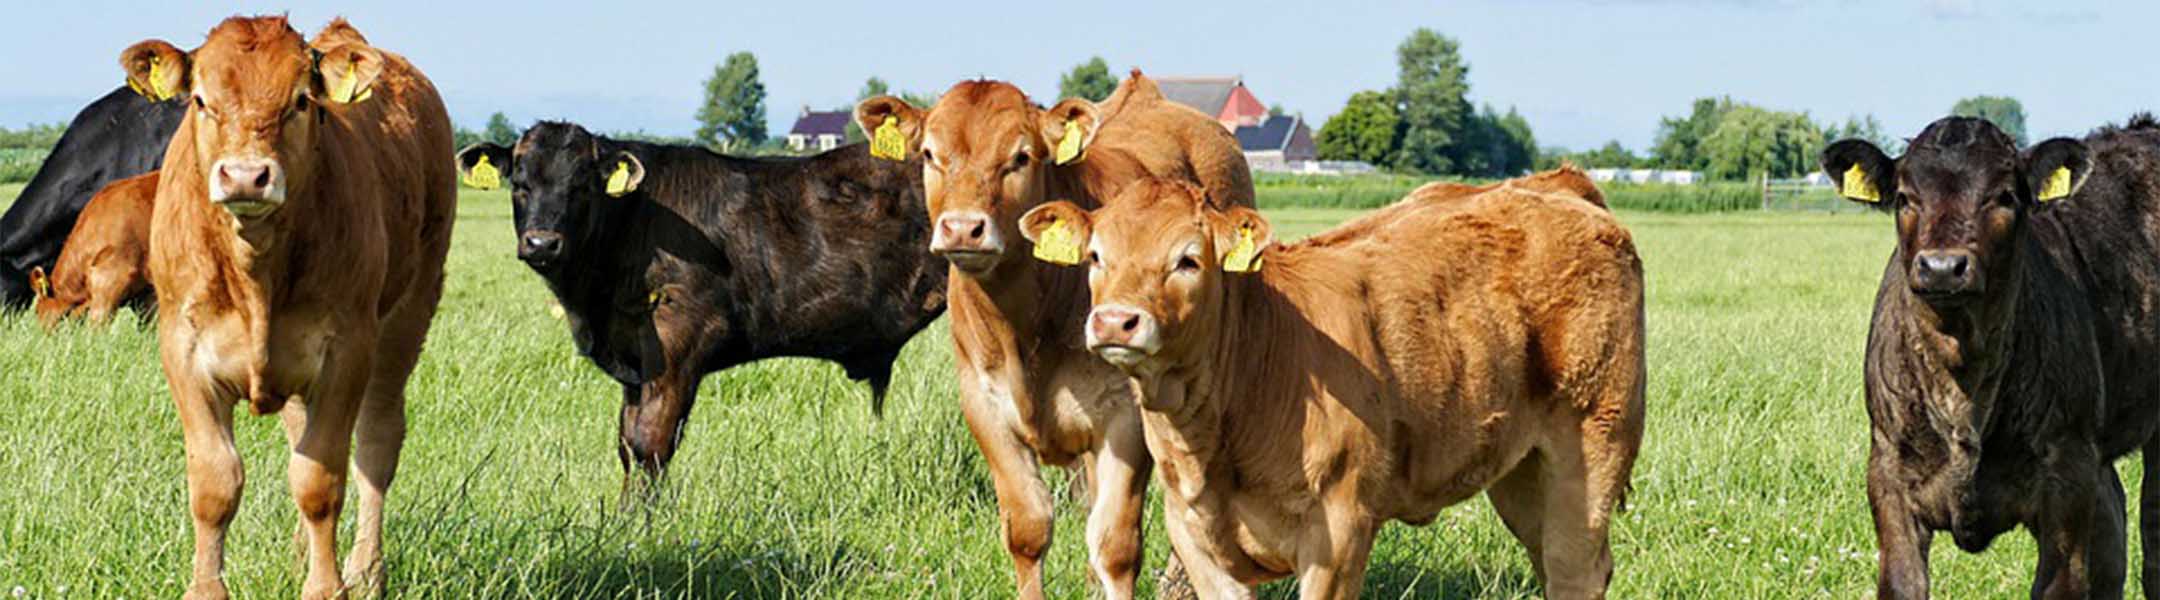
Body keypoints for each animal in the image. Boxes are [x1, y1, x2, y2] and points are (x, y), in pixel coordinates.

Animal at [126, 16, 456, 599]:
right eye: (200, 99)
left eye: (301, 100)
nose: (245, 176)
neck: (254, 273)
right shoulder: (183, 350)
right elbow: (214, 483)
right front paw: (206, 588)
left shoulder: (347, 351)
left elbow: (319, 480)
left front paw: (326, 586)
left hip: (409, 315)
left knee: (377, 442)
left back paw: (366, 570)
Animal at [452, 121, 947, 488]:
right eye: (519, 183)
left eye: (581, 187)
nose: (542, 243)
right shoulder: (636, 360)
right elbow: (627, 445)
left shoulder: (680, 343)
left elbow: (651, 444)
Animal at [852, 70, 1252, 599]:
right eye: (930, 155)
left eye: (1021, 156)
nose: (963, 228)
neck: (1025, 326)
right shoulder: (984, 407)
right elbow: (1029, 528)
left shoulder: (1125, 416)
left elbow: (1116, 546)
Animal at [1018, 170, 1646, 599]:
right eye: (1095, 256)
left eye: (1189, 260)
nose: (1115, 321)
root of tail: (1556, 182)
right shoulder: (1194, 533)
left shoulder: (1338, 533)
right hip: (1522, 469)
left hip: (1593, 447)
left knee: (1575, 567)